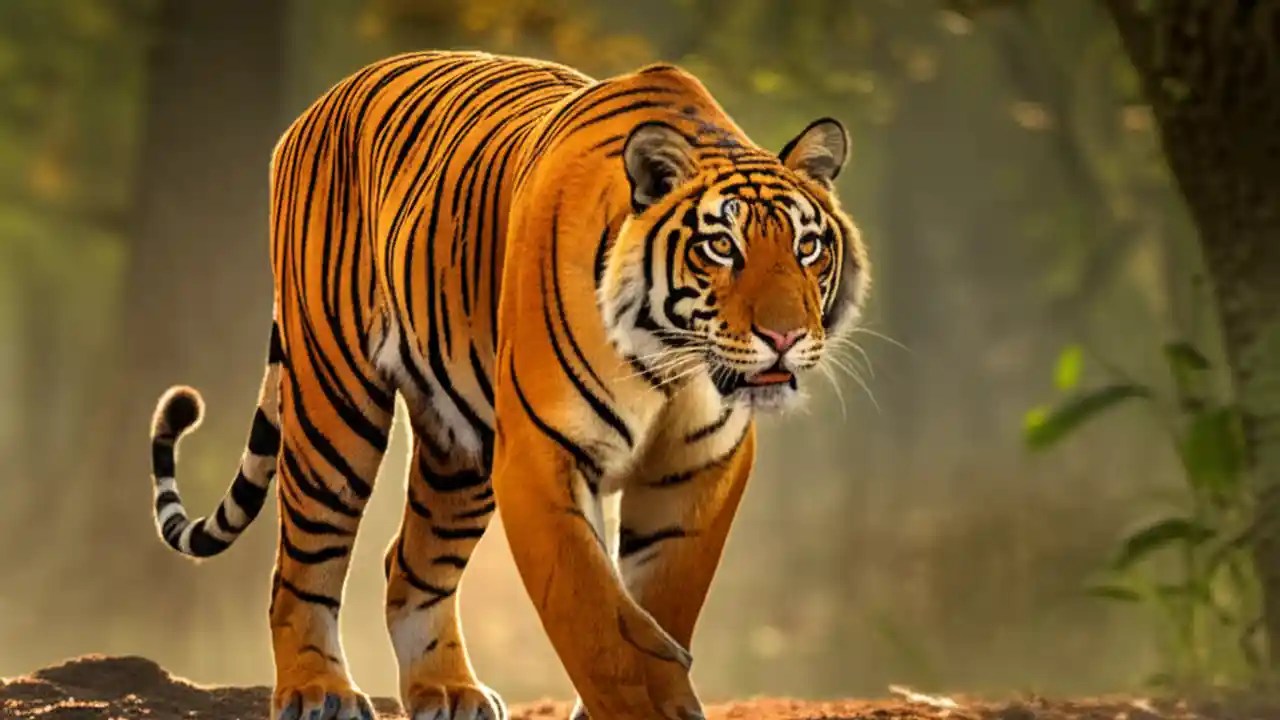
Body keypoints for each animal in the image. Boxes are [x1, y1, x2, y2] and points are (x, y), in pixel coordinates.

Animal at [147, 50, 869, 720]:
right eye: (721, 247)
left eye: (807, 247)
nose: (784, 335)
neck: (673, 362)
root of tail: (318, 107)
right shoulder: (542, 453)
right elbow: (596, 618)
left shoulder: (701, 467)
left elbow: (661, 604)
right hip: (337, 407)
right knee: (303, 560)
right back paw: (318, 690)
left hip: (462, 449)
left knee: (410, 564)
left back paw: (447, 690)